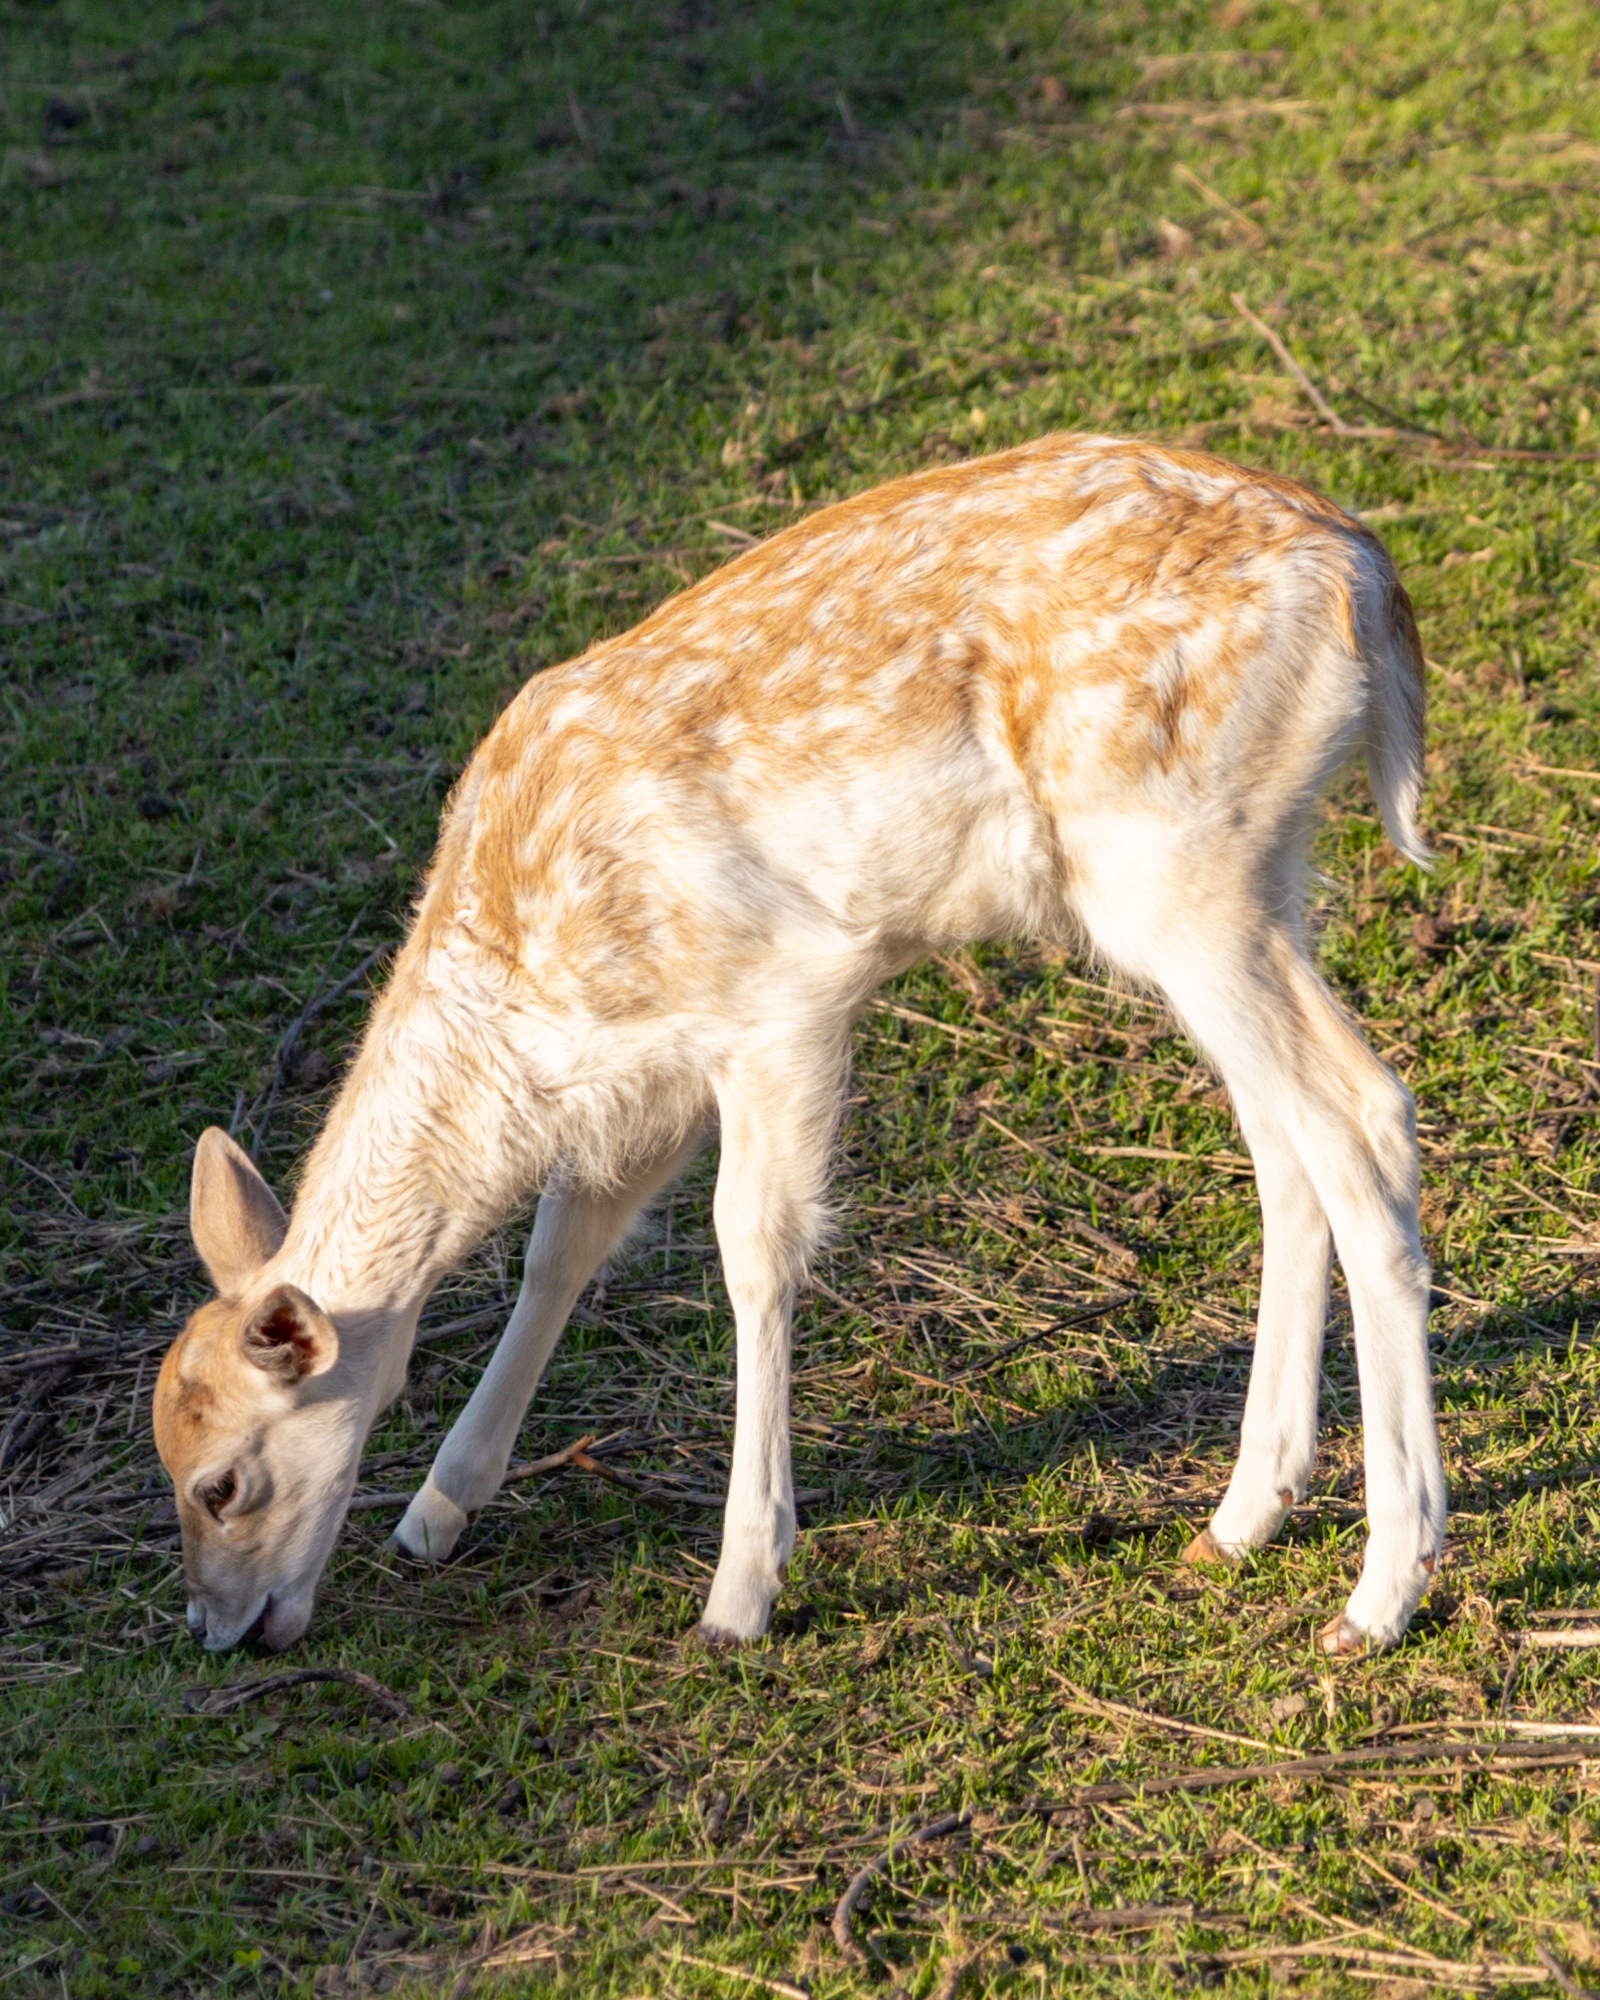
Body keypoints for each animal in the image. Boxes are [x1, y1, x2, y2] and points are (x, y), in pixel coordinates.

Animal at [159, 434, 1448, 1656]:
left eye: (222, 1481)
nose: (219, 1628)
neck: (528, 1002)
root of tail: (1364, 572)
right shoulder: (647, 1074)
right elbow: (561, 1244)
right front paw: (437, 1506)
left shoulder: (777, 1000)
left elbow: (752, 1248)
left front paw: (740, 1591)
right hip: (1259, 872)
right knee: (1284, 1142)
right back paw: (1240, 1517)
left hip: (1174, 867)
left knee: (1362, 1114)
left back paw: (1380, 1591)